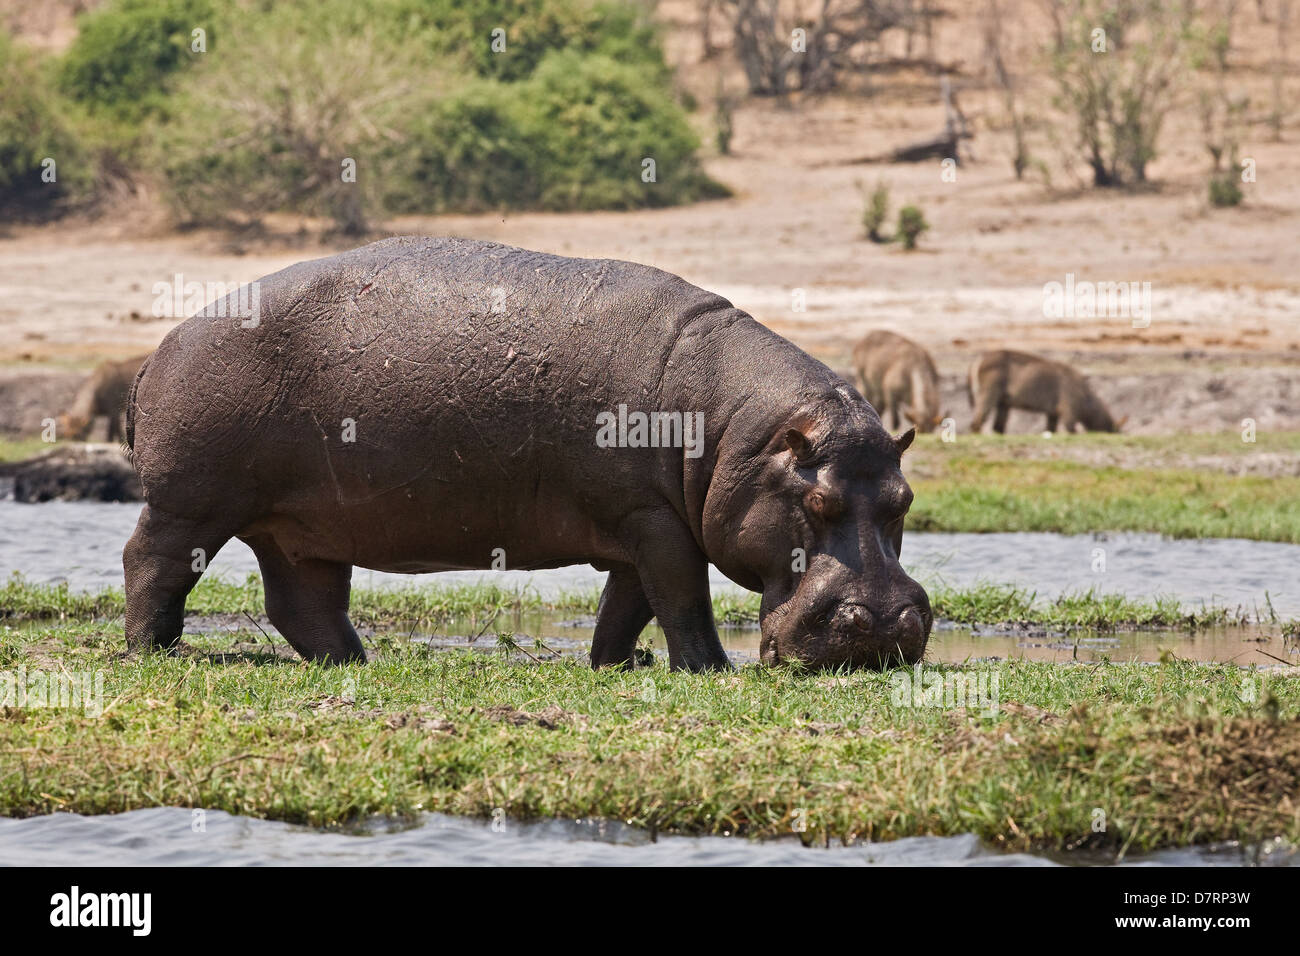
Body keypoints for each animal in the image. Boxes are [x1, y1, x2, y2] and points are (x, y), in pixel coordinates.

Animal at [124, 237, 931, 671]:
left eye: (905, 501)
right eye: (816, 501)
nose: (887, 624)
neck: (743, 435)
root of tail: (161, 344)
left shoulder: (649, 520)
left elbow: (630, 602)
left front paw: (614, 664)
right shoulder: (654, 517)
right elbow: (683, 596)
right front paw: (710, 669)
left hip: (302, 526)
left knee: (303, 600)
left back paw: (354, 660)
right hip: (191, 501)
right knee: (153, 562)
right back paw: (152, 651)